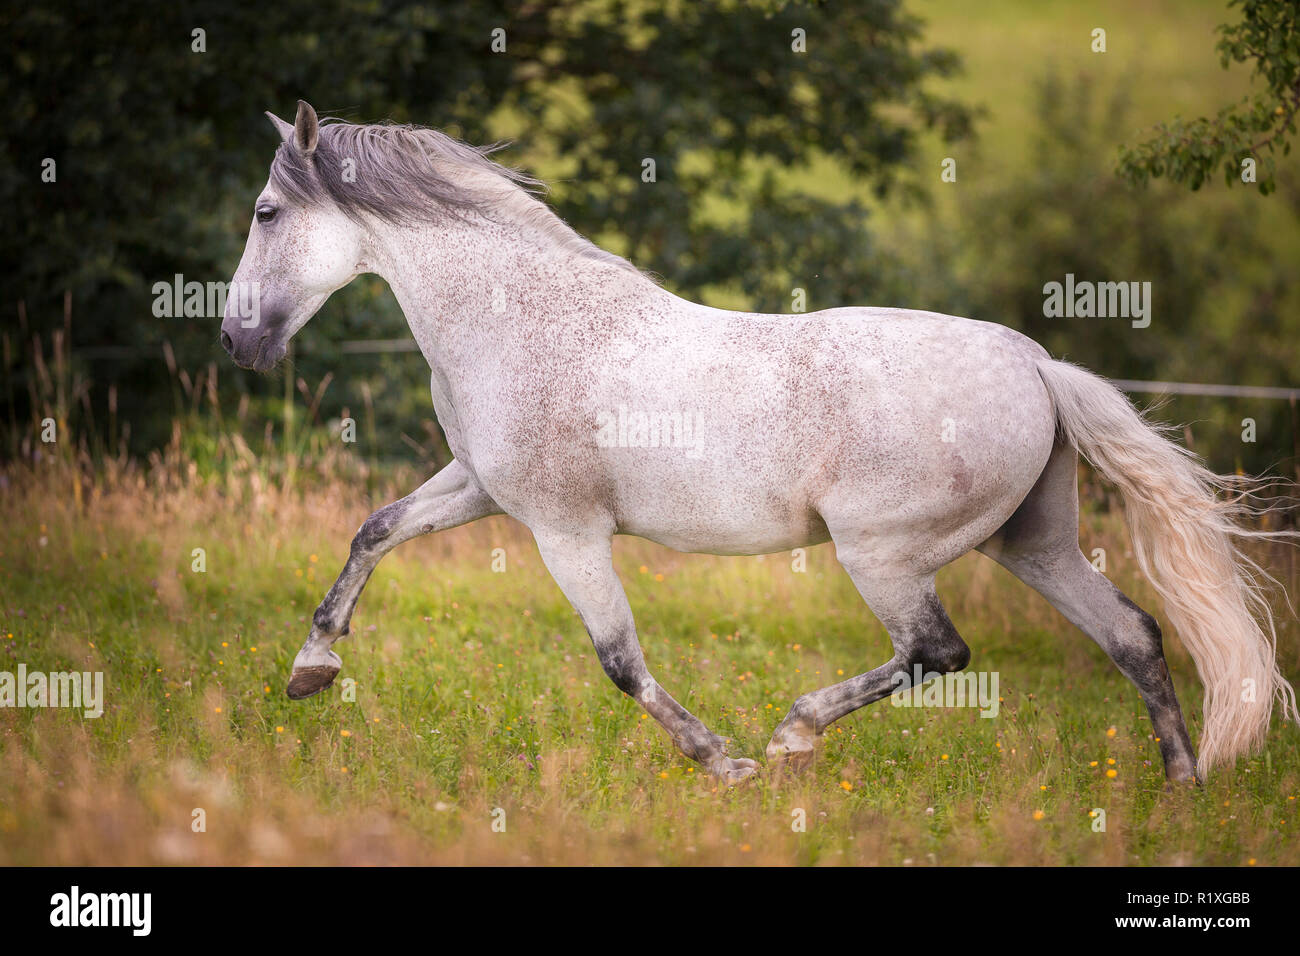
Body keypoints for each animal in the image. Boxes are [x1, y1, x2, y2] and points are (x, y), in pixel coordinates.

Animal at [221, 100, 1297, 784]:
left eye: (267, 213)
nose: (236, 342)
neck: (519, 318)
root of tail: (1036, 363)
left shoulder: (565, 531)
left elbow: (620, 662)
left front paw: (726, 763)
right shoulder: (479, 489)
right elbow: (374, 530)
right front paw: (311, 669)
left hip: (884, 554)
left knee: (937, 650)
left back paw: (792, 736)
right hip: (1031, 542)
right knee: (1133, 635)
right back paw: (1182, 787)